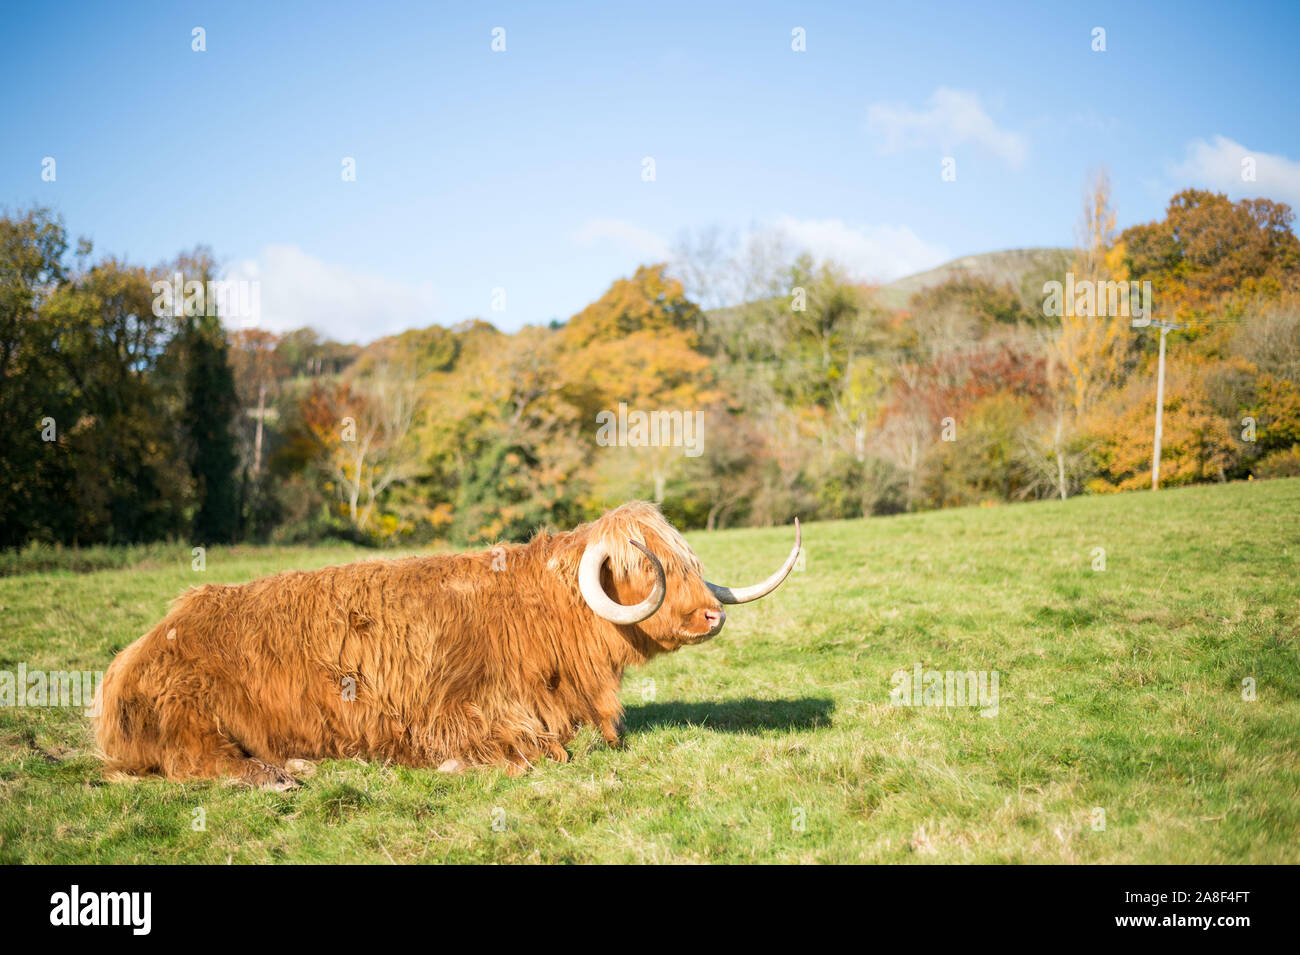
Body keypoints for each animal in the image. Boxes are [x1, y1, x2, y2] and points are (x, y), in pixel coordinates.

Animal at [93, 501, 800, 787]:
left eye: (690, 560)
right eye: (650, 567)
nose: (712, 615)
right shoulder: (448, 711)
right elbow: (531, 753)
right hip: (188, 715)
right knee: (196, 761)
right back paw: (280, 775)